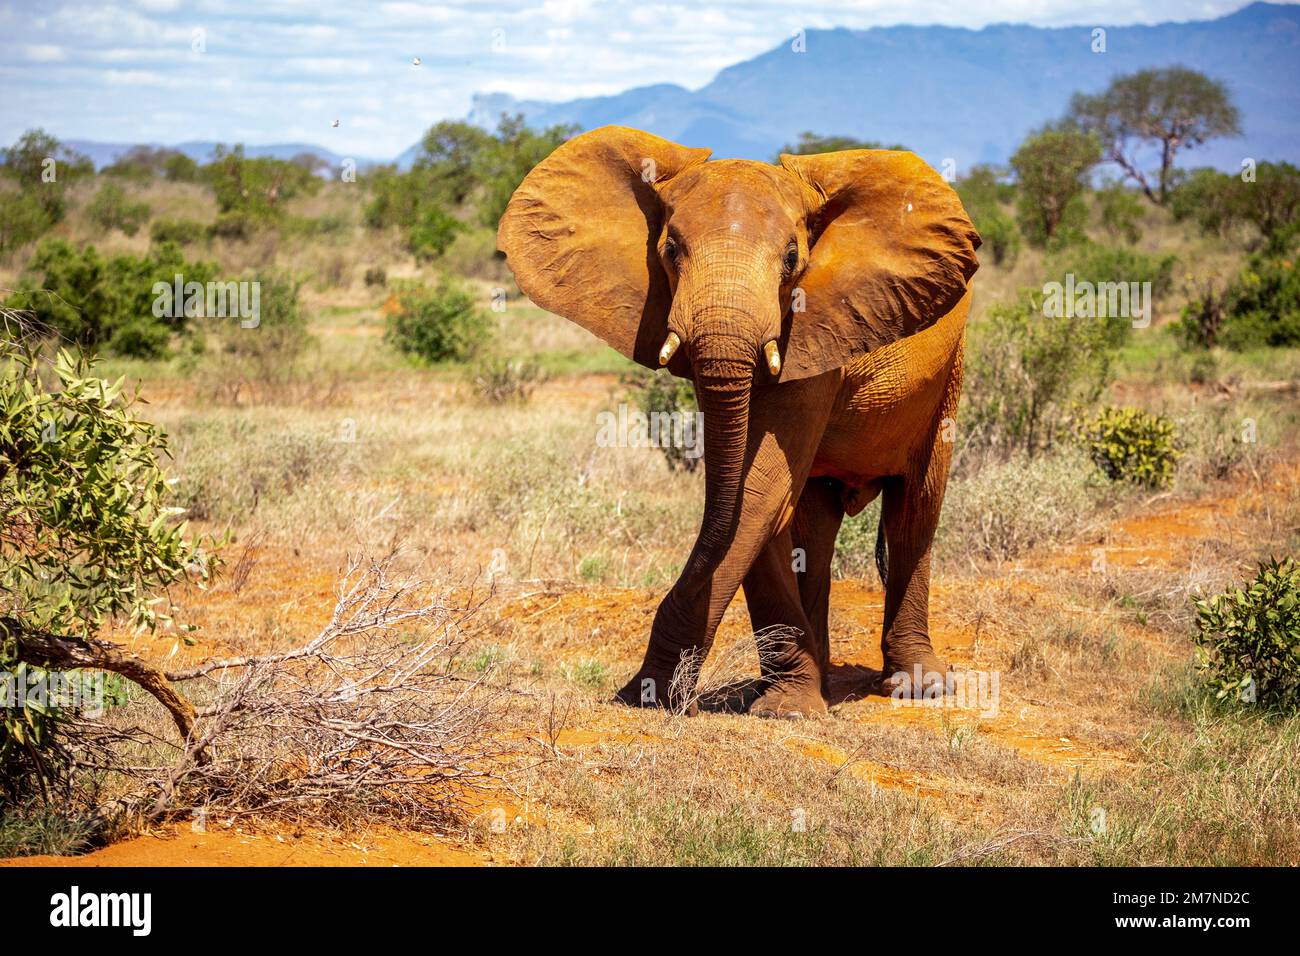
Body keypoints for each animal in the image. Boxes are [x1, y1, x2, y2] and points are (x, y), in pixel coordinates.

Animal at [497, 126, 981, 718]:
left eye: (792, 258)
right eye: (669, 251)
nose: (633, 692)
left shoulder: (812, 328)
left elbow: (757, 491)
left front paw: (672, 697)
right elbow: (755, 504)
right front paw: (779, 702)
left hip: (948, 376)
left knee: (914, 510)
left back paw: (919, 687)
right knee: (813, 527)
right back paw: (822, 678)